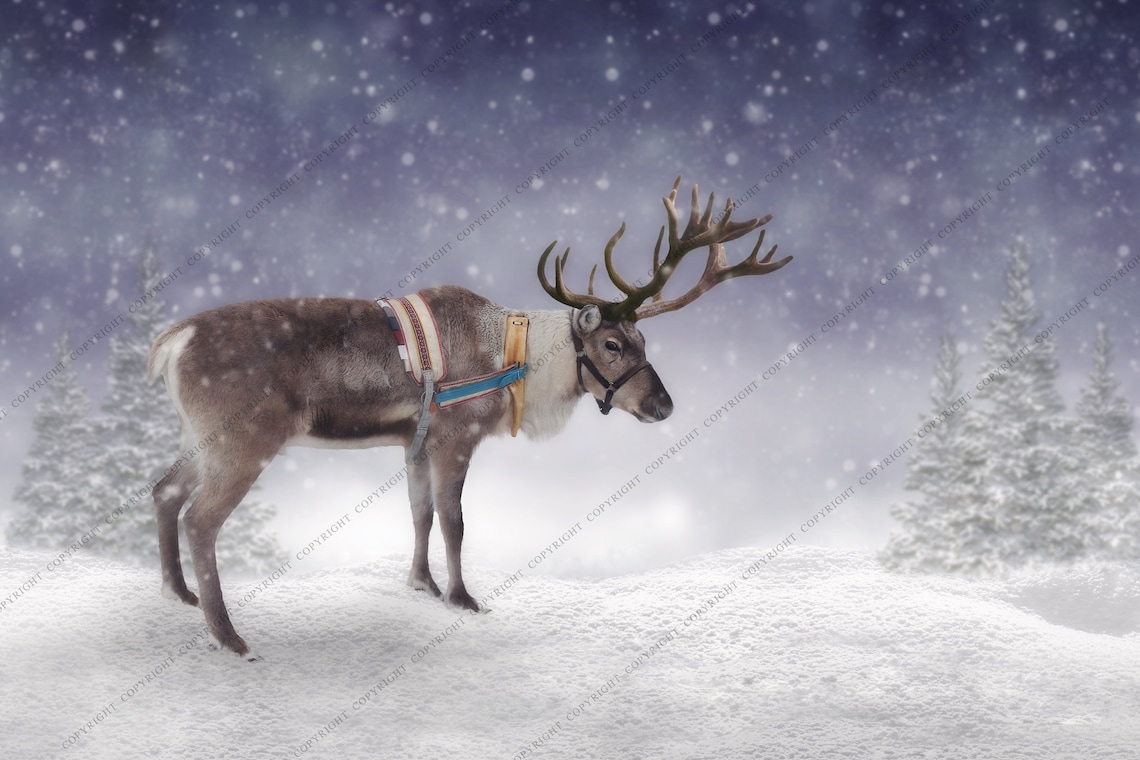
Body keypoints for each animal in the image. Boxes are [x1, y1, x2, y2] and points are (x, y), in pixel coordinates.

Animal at [148, 177, 792, 660]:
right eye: (613, 344)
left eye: (644, 340)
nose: (664, 405)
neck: (518, 361)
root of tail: (170, 343)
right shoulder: (457, 435)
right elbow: (456, 521)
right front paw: (463, 599)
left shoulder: (415, 442)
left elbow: (421, 514)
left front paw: (422, 585)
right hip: (243, 441)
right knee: (201, 519)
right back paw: (231, 639)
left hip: (198, 437)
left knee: (163, 488)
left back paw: (178, 596)